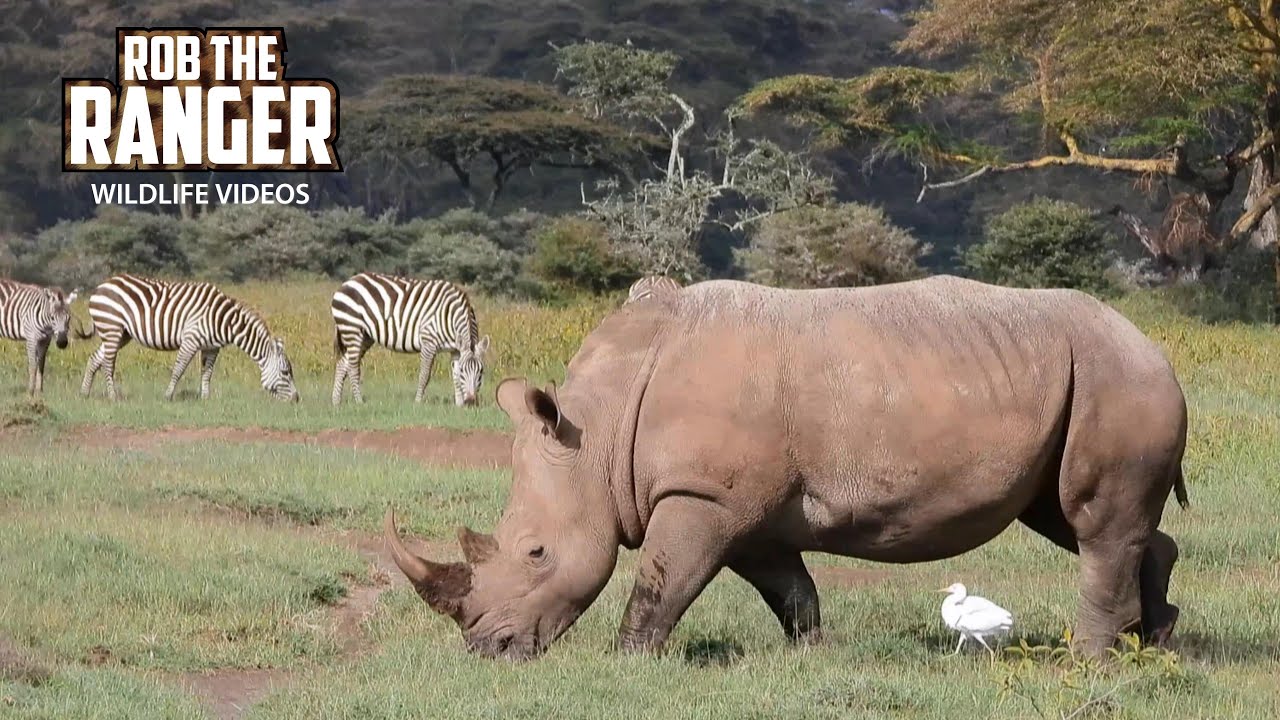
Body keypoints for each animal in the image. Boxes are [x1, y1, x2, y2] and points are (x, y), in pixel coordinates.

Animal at [385, 276, 1189, 660]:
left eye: (535, 552)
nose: (488, 650)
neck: (599, 432)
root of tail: (1152, 343)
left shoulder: (703, 496)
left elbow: (660, 583)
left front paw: (625, 658)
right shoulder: (742, 508)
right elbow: (790, 590)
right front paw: (813, 655)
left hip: (1118, 379)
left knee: (1094, 523)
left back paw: (1089, 659)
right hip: (1083, 380)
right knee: (1073, 519)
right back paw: (1152, 642)